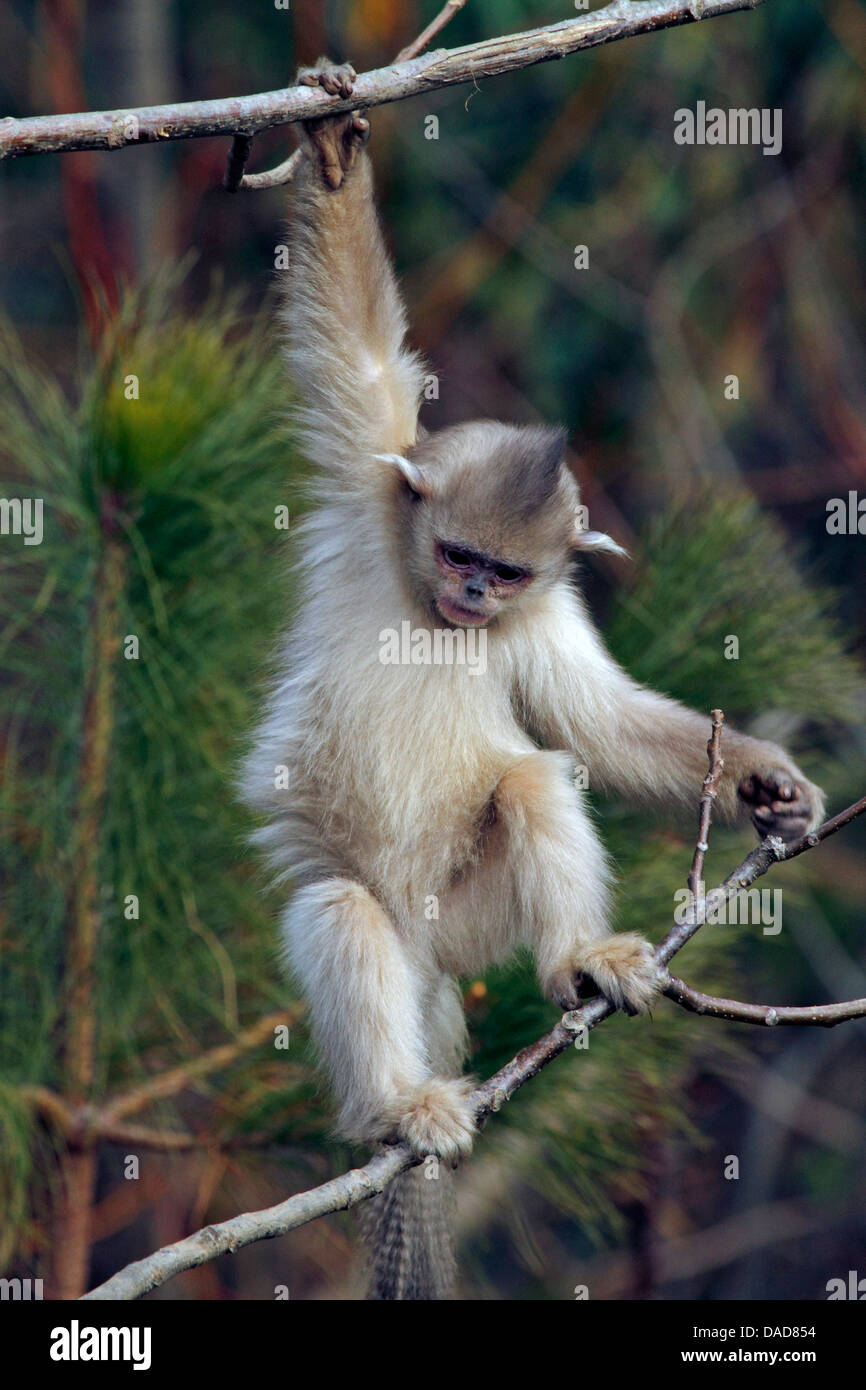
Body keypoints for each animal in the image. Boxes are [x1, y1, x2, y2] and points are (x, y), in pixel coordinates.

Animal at [241, 60, 825, 1299]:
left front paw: (760, 780)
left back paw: (576, 963)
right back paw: (400, 1107)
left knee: (531, 780)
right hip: (403, 937)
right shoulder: (363, 489)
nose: (470, 593)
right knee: (340, 910)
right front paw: (333, 152)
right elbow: (356, 354)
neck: (431, 606)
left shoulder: (544, 612)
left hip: (472, 931)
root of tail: (429, 980)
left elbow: (595, 726)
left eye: (502, 571)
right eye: (457, 554)